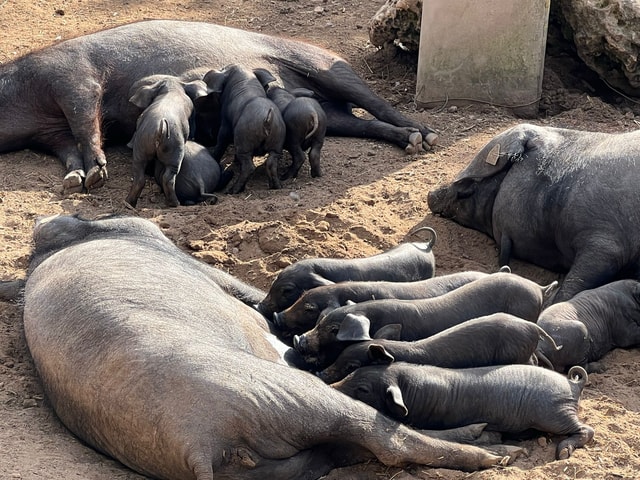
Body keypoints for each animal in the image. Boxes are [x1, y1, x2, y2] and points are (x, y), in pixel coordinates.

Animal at [0, 20, 437, 194]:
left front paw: (97, 174)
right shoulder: (49, 133)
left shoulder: (71, 76)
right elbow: (67, 149)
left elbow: (85, 123)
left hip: (329, 65)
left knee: (376, 103)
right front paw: (76, 180)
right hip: (327, 113)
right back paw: (411, 141)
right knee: (358, 124)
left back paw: (427, 136)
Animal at [126, 75, 208, 207]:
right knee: (168, 178)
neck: (172, 89)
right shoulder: (192, 112)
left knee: (139, 176)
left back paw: (128, 204)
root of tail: (160, 129)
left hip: (141, 145)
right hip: (175, 147)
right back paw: (175, 203)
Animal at [332, 363, 594, 460]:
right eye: (354, 371)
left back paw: (562, 453)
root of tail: (572, 383)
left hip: (555, 413)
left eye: (363, 389)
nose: (332, 387)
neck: (410, 389)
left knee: (587, 430)